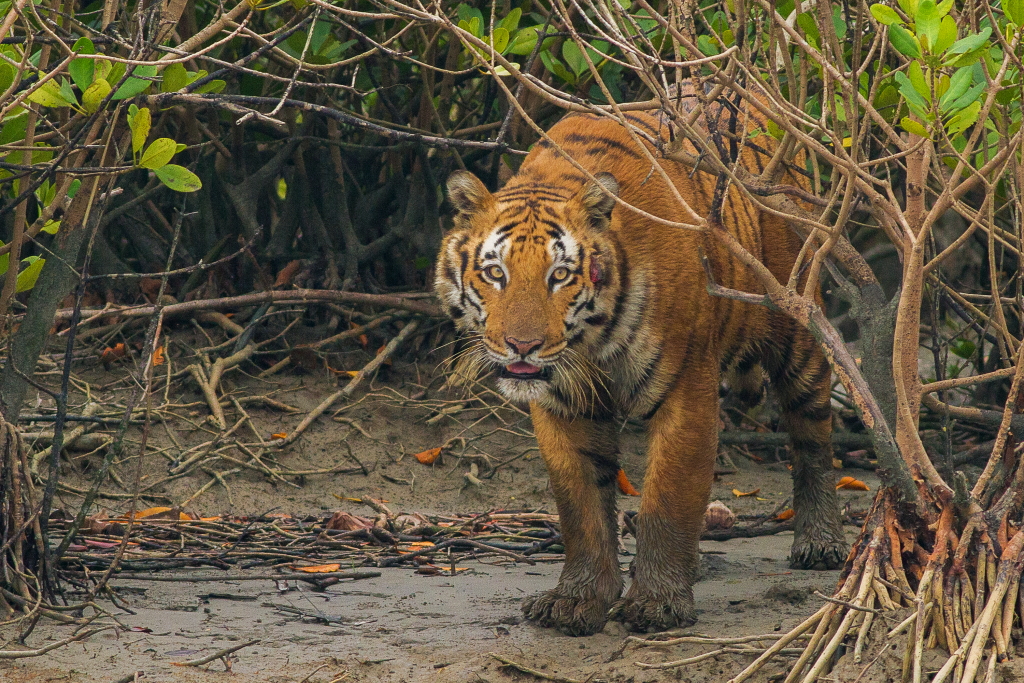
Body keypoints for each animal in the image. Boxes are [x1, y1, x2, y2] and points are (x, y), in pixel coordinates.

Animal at [434, 86, 847, 636]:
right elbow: (581, 506)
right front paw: (577, 600)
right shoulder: (562, 407)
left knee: (812, 435)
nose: (522, 345)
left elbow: (668, 498)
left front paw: (657, 603)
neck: (591, 342)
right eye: (495, 273)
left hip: (797, 325)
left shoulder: (685, 391)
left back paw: (820, 543)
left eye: (560, 275)